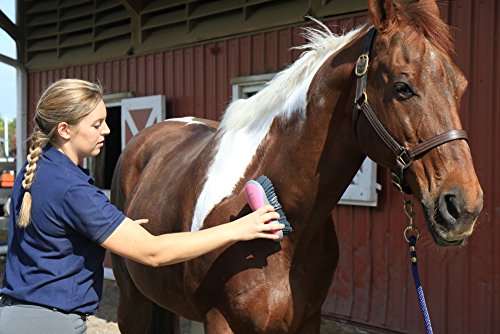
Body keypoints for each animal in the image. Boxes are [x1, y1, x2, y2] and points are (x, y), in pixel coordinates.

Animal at [110, 1, 484, 332]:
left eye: (462, 86)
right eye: (402, 87)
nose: (463, 208)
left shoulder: (306, 320)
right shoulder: (219, 321)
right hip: (132, 298)